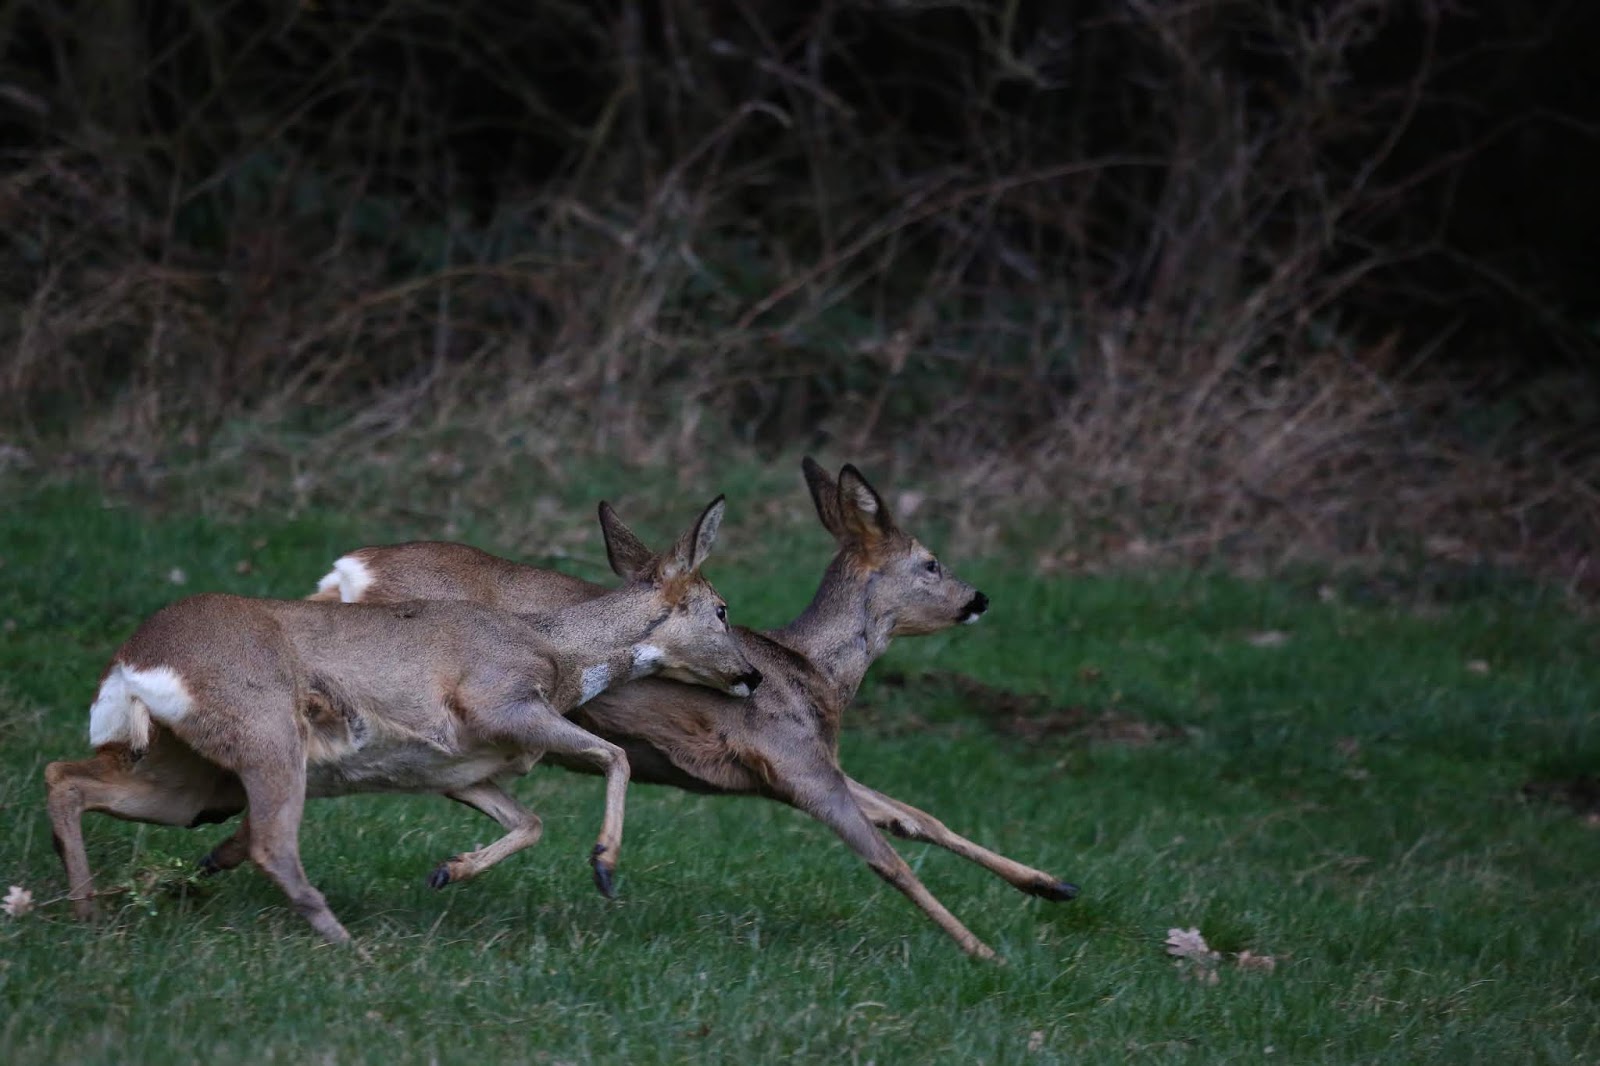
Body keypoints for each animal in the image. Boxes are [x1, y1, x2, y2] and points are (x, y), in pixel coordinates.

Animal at [44, 496, 761, 943]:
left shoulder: (458, 768)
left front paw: (450, 869)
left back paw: (89, 912)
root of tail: (133, 660)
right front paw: (604, 865)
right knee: (273, 843)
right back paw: (348, 946)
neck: (558, 654)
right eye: (723, 610)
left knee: (65, 778)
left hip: (186, 777)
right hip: (265, 730)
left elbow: (529, 820)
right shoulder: (497, 700)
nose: (752, 675)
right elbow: (614, 757)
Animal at [286, 459, 1078, 960]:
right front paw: (985, 951)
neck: (816, 675)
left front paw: (1053, 885)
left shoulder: (806, 763)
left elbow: (918, 818)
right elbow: (888, 858)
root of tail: (347, 573)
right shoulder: (796, 763)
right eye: (932, 563)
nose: (979, 598)